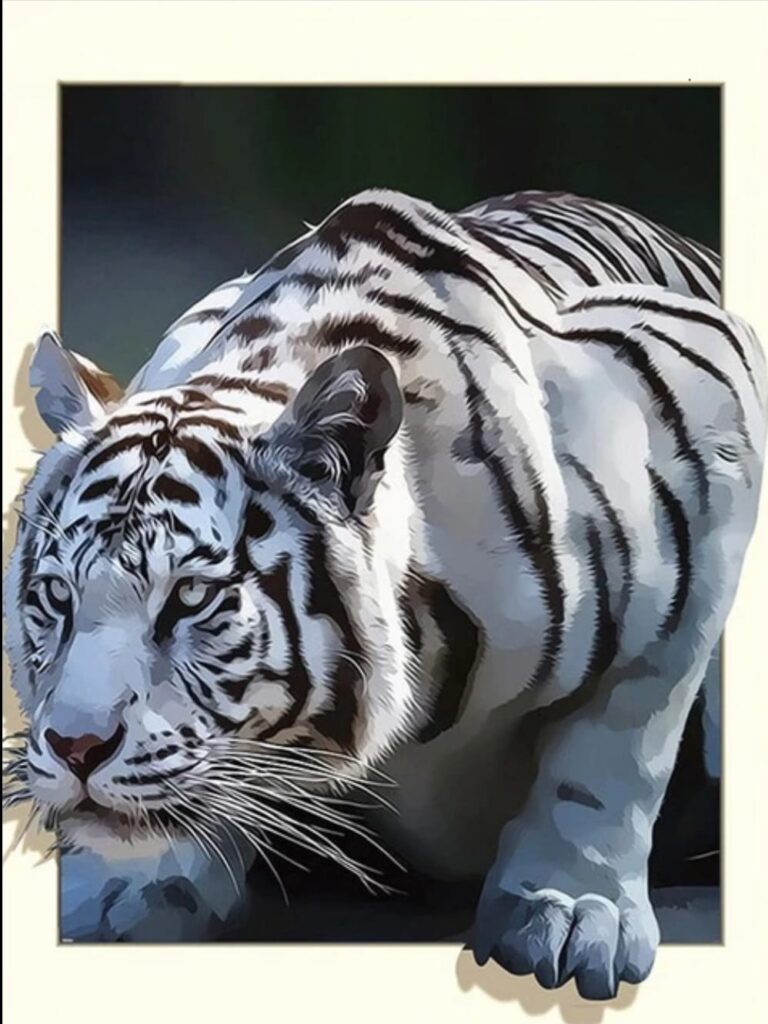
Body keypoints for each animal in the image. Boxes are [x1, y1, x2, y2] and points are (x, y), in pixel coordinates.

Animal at [4, 188, 765, 998]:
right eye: (56, 596)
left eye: (191, 598)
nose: (76, 748)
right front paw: (131, 879)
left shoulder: (711, 417)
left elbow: (618, 740)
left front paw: (569, 909)